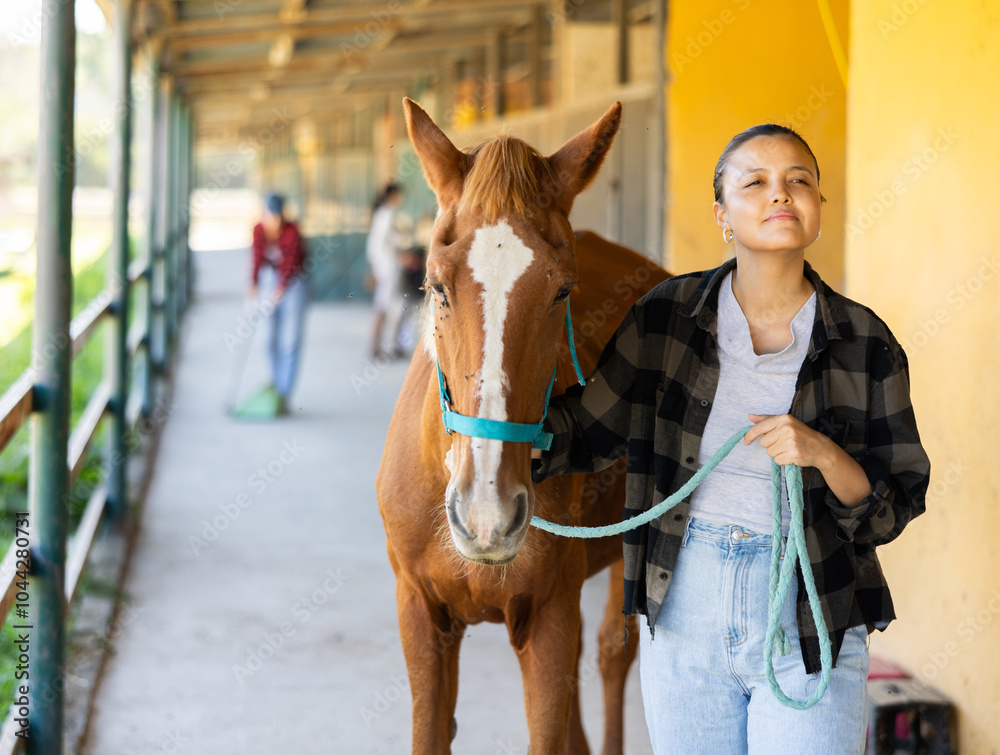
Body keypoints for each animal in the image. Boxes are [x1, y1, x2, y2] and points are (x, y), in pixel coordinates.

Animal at [376, 98, 672, 754]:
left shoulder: (549, 616)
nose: (486, 513)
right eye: (435, 285)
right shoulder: (418, 616)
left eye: (562, 292)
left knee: (612, 655)